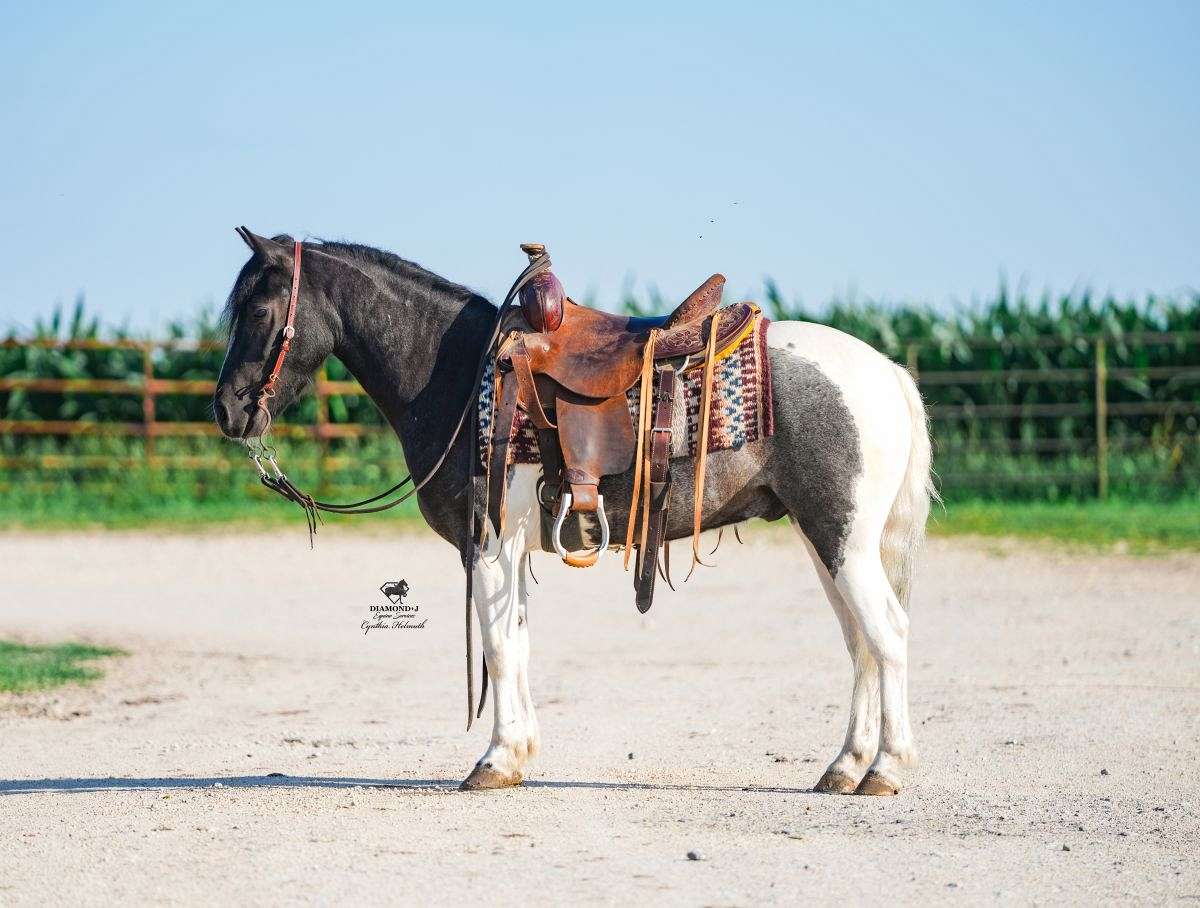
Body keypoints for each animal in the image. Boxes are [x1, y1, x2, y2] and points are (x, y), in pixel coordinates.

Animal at [212, 230, 936, 796]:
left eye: (261, 307)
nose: (226, 409)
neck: (462, 381)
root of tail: (886, 372)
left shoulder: (487, 544)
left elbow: (499, 647)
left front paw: (495, 760)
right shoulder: (507, 550)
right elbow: (519, 642)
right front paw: (518, 754)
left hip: (840, 538)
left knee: (890, 632)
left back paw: (884, 769)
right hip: (826, 540)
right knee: (859, 641)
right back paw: (845, 767)